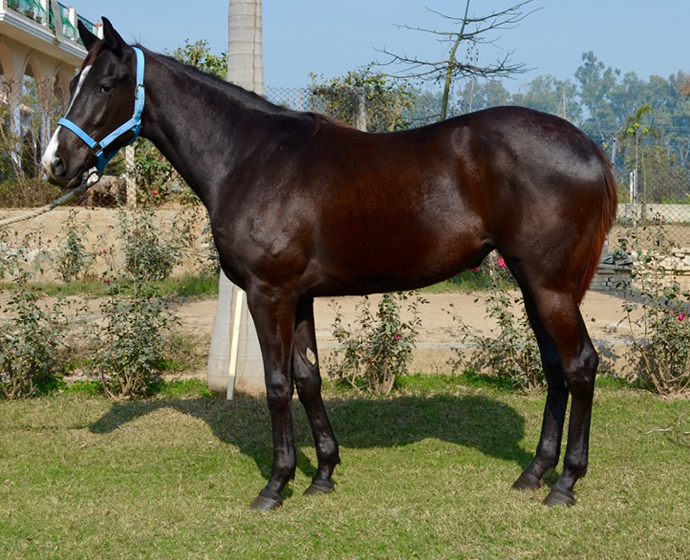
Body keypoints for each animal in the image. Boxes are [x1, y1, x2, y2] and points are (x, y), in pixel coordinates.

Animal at [42, 18, 617, 512]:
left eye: (106, 85)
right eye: (72, 81)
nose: (55, 163)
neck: (251, 158)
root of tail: (591, 148)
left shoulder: (268, 293)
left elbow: (277, 384)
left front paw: (275, 486)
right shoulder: (298, 297)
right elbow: (308, 378)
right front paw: (322, 474)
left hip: (549, 287)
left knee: (581, 365)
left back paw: (565, 483)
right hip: (534, 286)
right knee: (556, 369)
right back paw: (534, 473)